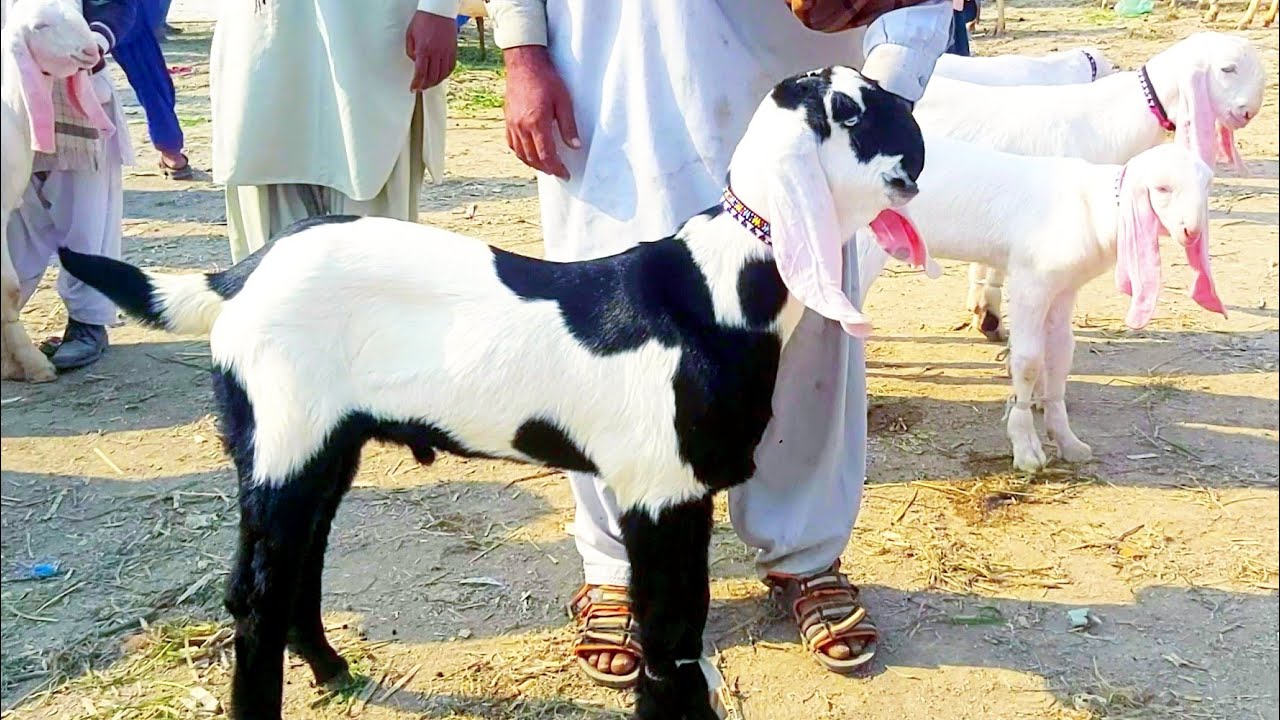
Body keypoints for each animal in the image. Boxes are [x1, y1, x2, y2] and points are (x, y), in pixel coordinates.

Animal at [57, 66, 932, 720]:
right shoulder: (657, 488)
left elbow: (679, 626)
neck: (713, 287)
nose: (917, 126)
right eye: (850, 110)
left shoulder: (681, 490)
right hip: (283, 443)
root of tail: (237, 278)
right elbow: (668, 627)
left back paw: (333, 669)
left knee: (298, 565)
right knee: (257, 592)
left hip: (326, 445)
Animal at [857, 140, 1220, 472]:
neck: (1091, 208)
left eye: (1207, 185)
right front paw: (1025, 446)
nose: (1191, 232)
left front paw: (1068, 441)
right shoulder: (1030, 284)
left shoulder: (1063, 288)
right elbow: (1029, 362)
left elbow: (1059, 355)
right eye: (1162, 188)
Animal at [914, 31, 1263, 342]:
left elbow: (986, 269)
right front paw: (991, 320)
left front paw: (986, 317)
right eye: (1227, 68)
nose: (1248, 113)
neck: (1109, 119)